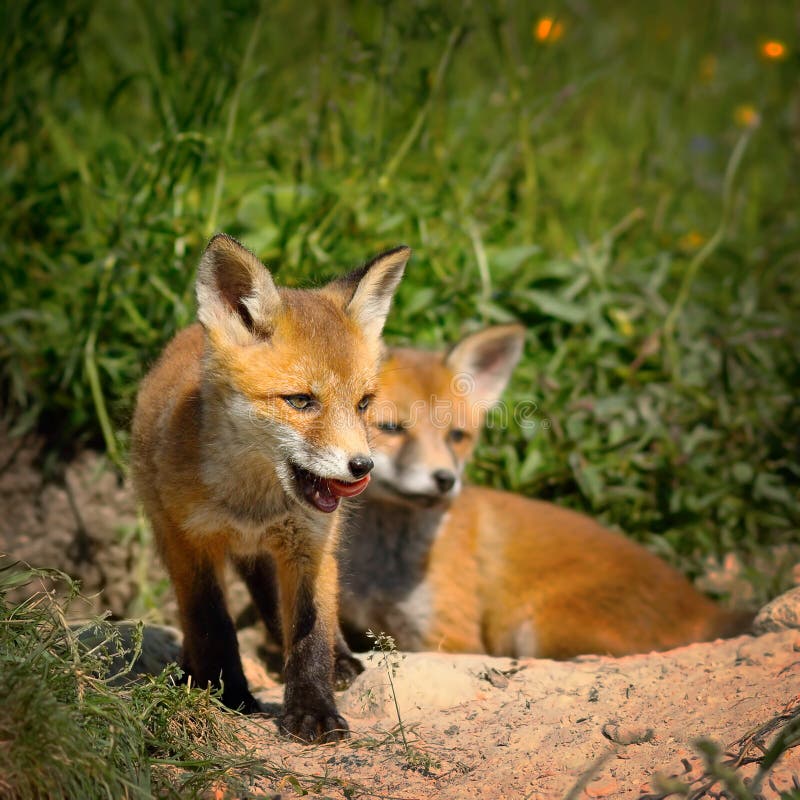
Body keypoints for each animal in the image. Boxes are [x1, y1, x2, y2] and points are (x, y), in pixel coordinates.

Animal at [131, 234, 410, 742]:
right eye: (300, 401)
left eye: (363, 404)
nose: (362, 467)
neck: (252, 505)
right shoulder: (190, 545)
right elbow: (212, 627)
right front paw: (229, 696)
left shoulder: (310, 547)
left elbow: (310, 633)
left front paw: (313, 710)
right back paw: (192, 671)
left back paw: (341, 661)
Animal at [338, 325, 754, 658]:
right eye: (392, 428)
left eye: (456, 436)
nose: (445, 480)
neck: (380, 566)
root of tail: (706, 607)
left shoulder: (451, 637)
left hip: (537, 632)